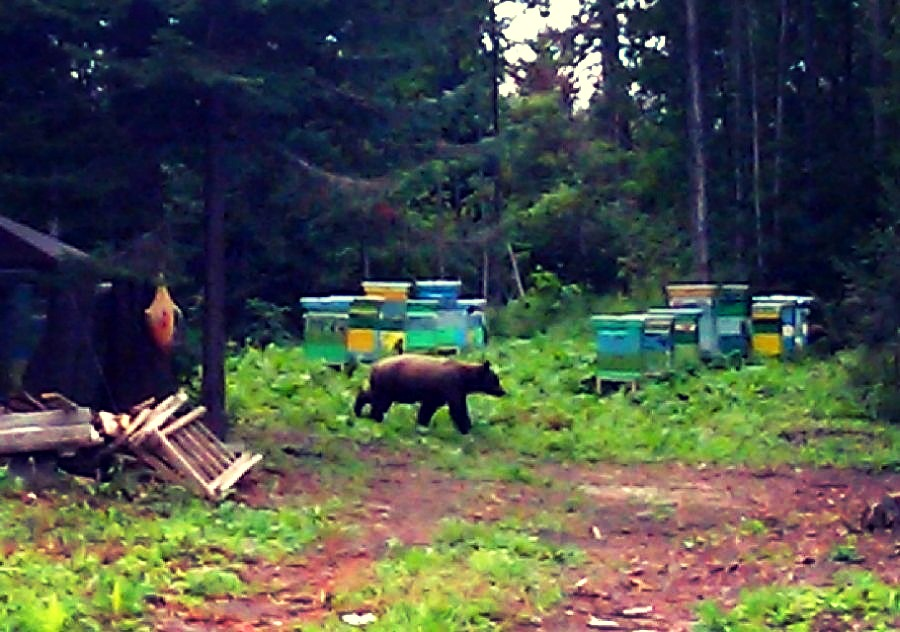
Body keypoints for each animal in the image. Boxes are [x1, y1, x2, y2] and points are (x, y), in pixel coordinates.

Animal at [354, 356, 506, 434]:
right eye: (495, 378)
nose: (503, 391)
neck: (464, 377)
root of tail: (374, 367)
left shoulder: (438, 394)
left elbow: (428, 408)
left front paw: (422, 426)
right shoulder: (451, 386)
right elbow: (457, 409)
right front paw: (466, 428)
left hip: (385, 387)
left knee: (370, 396)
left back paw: (359, 410)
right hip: (388, 385)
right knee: (379, 403)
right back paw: (376, 418)